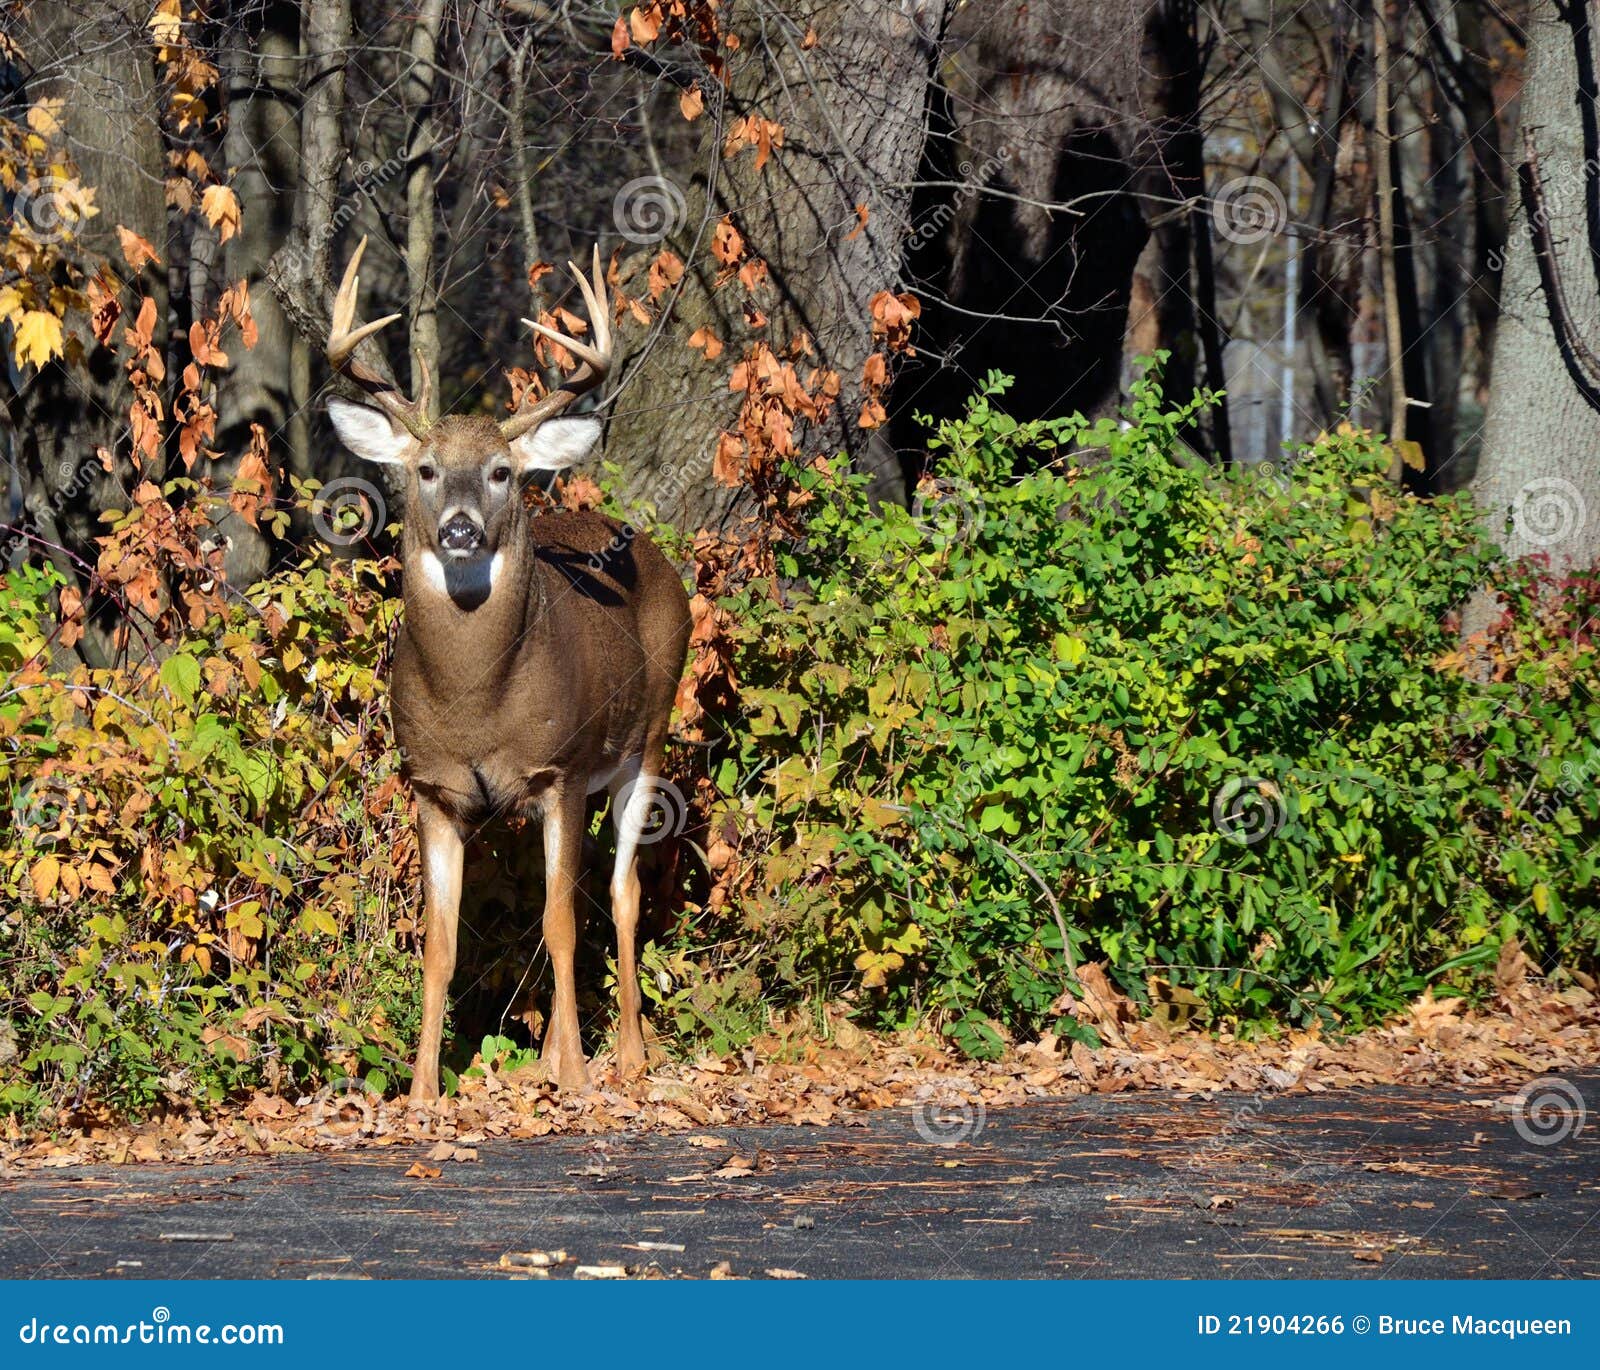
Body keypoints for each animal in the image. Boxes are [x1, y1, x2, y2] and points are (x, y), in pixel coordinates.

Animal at [316, 237, 691, 1103]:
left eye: (499, 471)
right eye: (425, 469)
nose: (459, 528)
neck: (476, 701)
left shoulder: (558, 771)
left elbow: (556, 923)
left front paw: (581, 1078)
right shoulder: (434, 786)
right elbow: (440, 942)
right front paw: (421, 1092)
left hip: (648, 736)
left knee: (617, 892)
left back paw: (626, 1056)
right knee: (583, 893)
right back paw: (555, 1054)